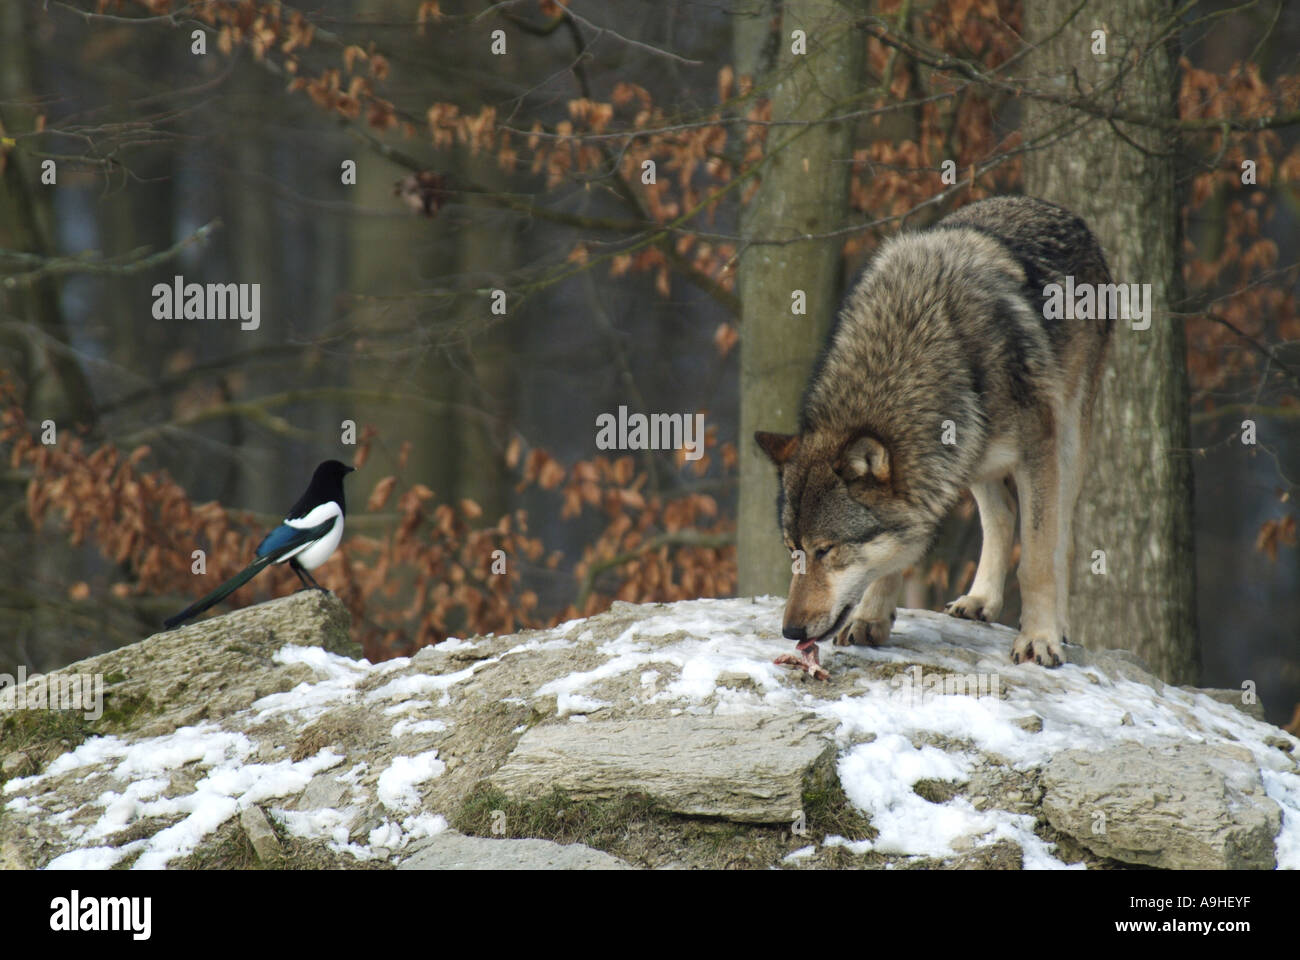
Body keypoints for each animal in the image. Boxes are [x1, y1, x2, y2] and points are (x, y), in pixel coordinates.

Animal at [756, 196, 1112, 671]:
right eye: (792, 549)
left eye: (826, 550)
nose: (791, 632)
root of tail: (1049, 206)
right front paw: (872, 618)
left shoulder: (1039, 449)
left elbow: (1036, 559)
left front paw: (1038, 639)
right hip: (975, 454)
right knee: (1002, 514)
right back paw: (980, 600)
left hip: (1067, 436)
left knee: (1062, 541)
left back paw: (1058, 624)